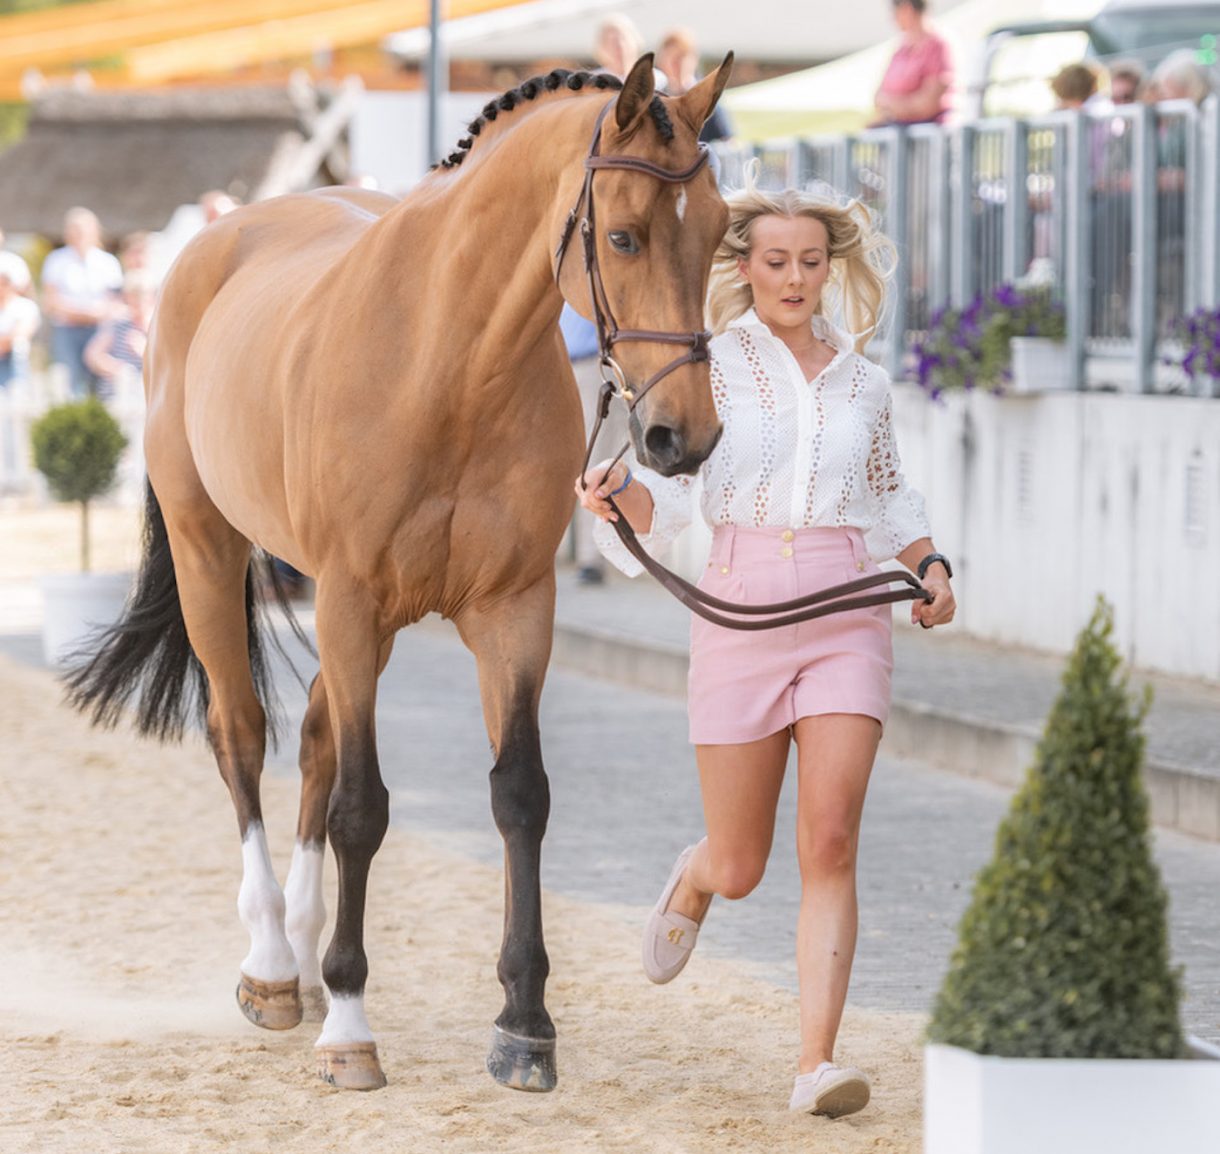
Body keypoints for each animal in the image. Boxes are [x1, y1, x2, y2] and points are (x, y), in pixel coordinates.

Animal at [65, 54, 732, 1093]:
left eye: (719, 232)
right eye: (623, 235)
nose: (682, 436)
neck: (449, 360)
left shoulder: (512, 610)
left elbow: (519, 794)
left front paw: (524, 1025)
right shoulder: (349, 598)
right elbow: (362, 810)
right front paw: (351, 1023)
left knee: (312, 743)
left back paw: (301, 956)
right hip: (213, 551)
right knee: (242, 735)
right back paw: (273, 965)